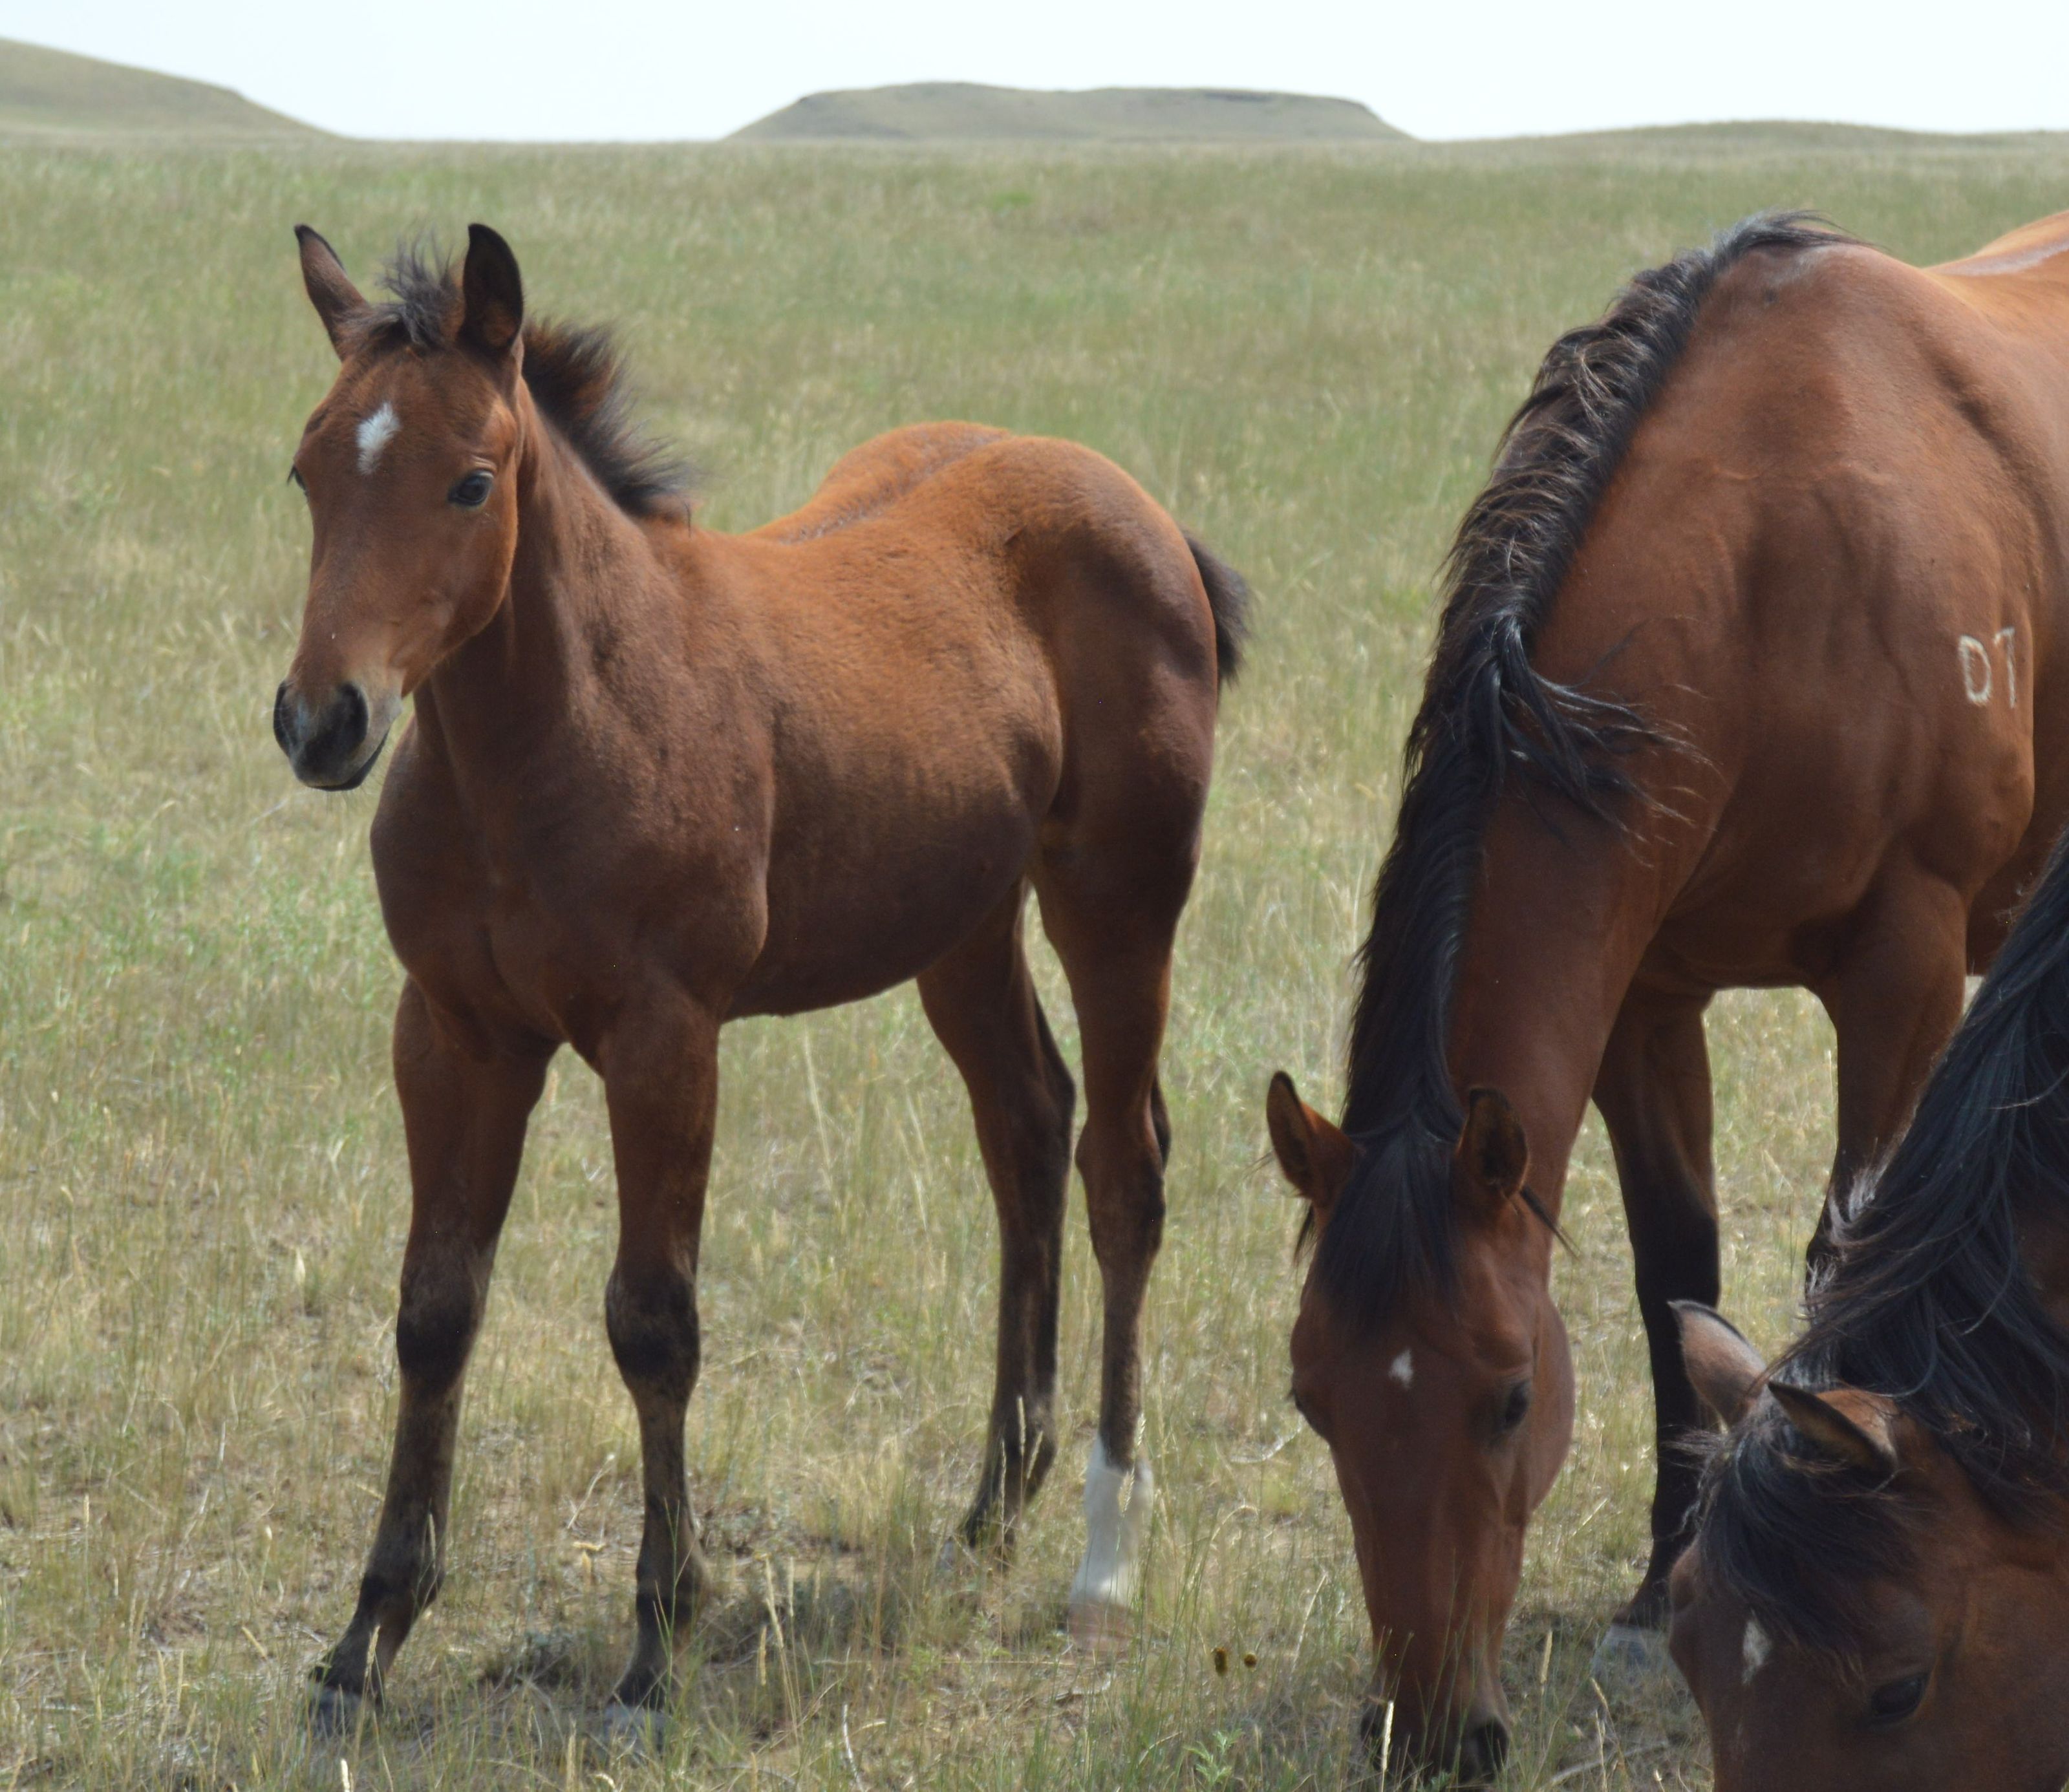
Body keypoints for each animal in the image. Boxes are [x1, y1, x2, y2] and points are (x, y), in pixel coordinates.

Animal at [272, 222, 1248, 1729]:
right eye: (310, 470)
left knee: (1123, 1171)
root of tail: (1135, 504)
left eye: (470, 480)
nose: (324, 722)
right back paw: (993, 1502)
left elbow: (653, 1321)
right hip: (961, 922)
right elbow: (433, 1314)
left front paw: (656, 1644)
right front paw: (364, 1640)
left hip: (1118, 899)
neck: (542, 746)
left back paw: (1102, 1557)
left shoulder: (664, 1039)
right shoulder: (451, 1033)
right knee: (1028, 1129)